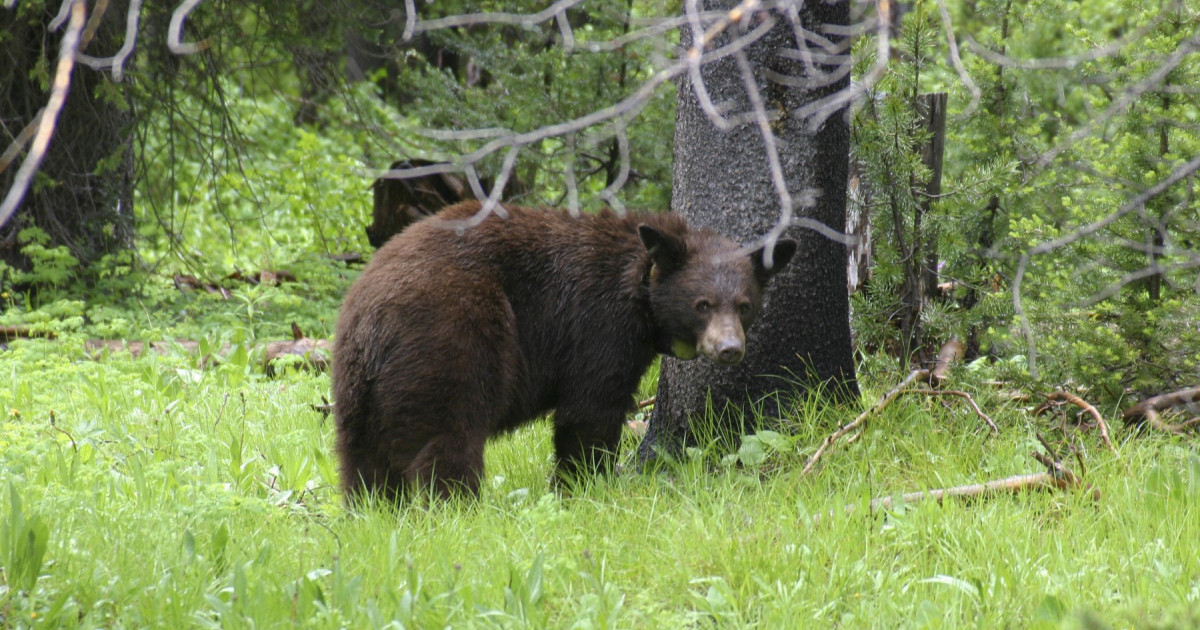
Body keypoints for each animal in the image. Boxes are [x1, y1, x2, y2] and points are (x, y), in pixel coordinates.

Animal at [332, 200, 796, 502]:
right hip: (452, 339)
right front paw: (585, 483)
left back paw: (373, 509)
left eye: (744, 305)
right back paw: (457, 506)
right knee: (448, 435)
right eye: (703, 304)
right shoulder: (597, 325)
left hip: (358, 388)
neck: (639, 285)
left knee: (361, 458)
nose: (729, 348)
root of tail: (371, 319)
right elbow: (590, 409)